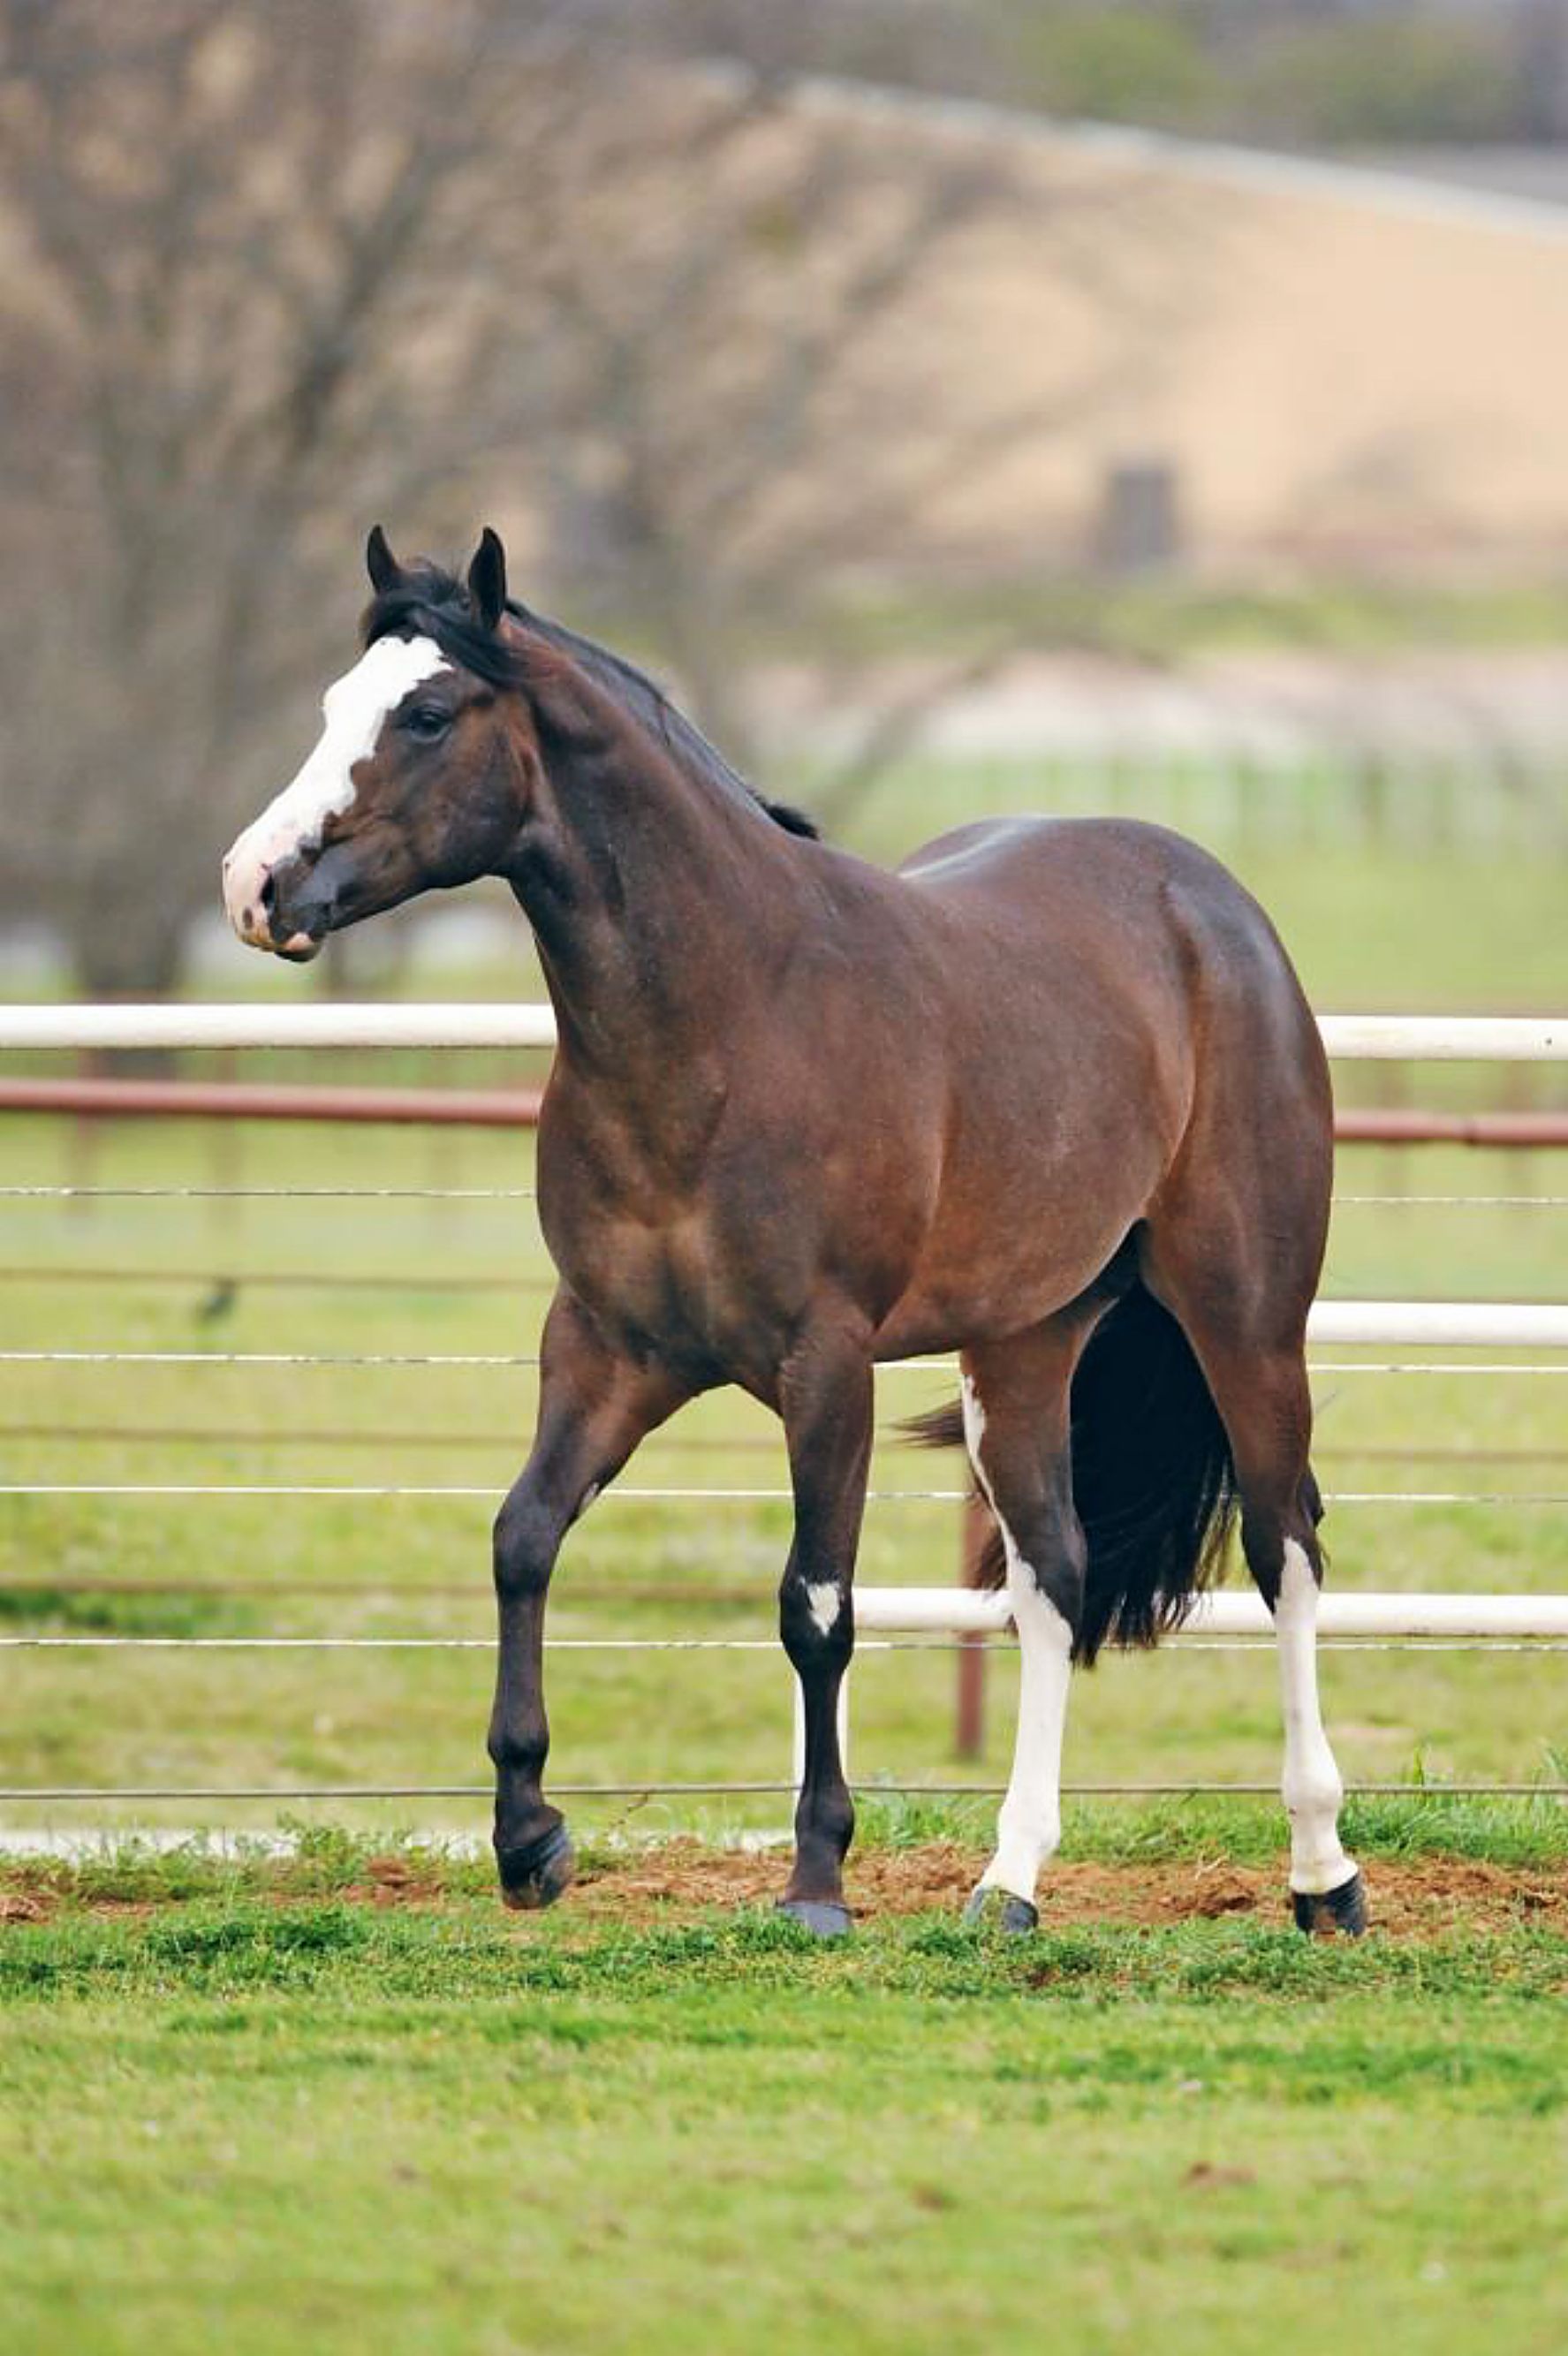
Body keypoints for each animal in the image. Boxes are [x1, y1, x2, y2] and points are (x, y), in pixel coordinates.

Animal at [222, 525, 1365, 1941]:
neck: (729, 1018)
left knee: (1283, 1547)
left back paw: (1322, 1875)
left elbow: (814, 1605)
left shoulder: (825, 1369)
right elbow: (521, 1537)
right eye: (338, 703)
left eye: (427, 715)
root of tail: (1210, 903)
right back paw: (1007, 1883)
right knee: (1051, 1573)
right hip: (1023, 1344)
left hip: (1244, 1316)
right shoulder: (605, 1349)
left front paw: (816, 1879)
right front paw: (528, 1835)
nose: (255, 885)